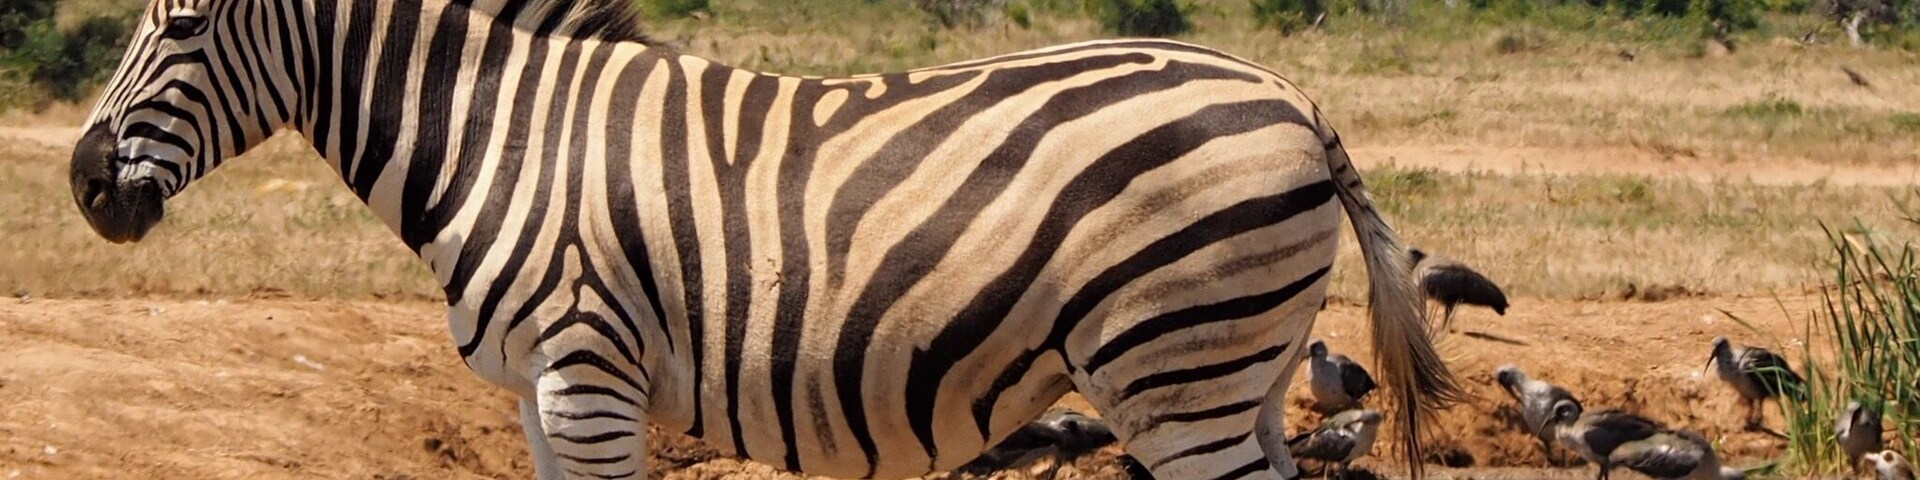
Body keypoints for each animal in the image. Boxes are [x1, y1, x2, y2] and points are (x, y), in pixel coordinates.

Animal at [66, 0, 1461, 478]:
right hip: (1241, 372)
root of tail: (1297, 98)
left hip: (1176, 370)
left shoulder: (587, 377)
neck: (500, 133)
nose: (83, 186)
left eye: (182, 23)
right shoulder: (535, 393)